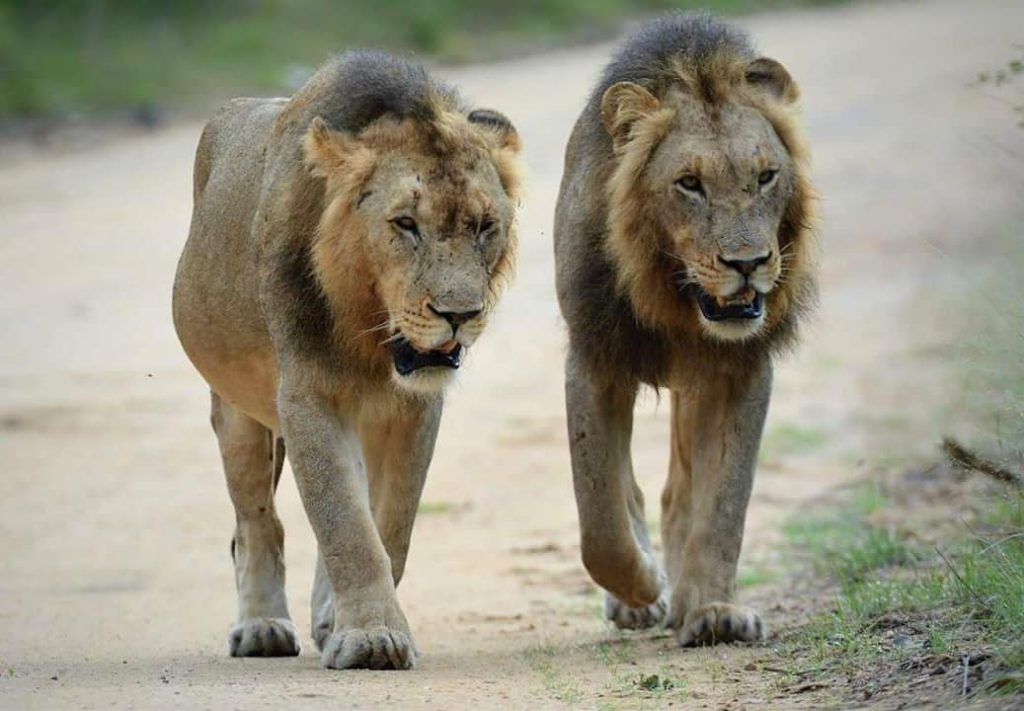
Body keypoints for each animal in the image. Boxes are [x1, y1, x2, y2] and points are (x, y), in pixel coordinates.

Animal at [172, 51, 522, 669]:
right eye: (405, 224)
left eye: (485, 226)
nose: (459, 314)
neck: (370, 331)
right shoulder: (305, 396)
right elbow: (344, 523)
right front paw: (372, 637)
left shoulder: (413, 410)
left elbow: (389, 524)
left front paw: (348, 622)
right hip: (234, 410)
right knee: (256, 523)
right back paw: (262, 627)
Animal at [554, 14, 816, 646]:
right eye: (689, 183)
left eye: (766, 176)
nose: (748, 263)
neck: (675, 298)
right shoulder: (594, 360)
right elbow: (600, 519)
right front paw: (644, 585)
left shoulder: (742, 368)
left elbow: (722, 505)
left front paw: (713, 610)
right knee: (628, 493)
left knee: (680, 494)